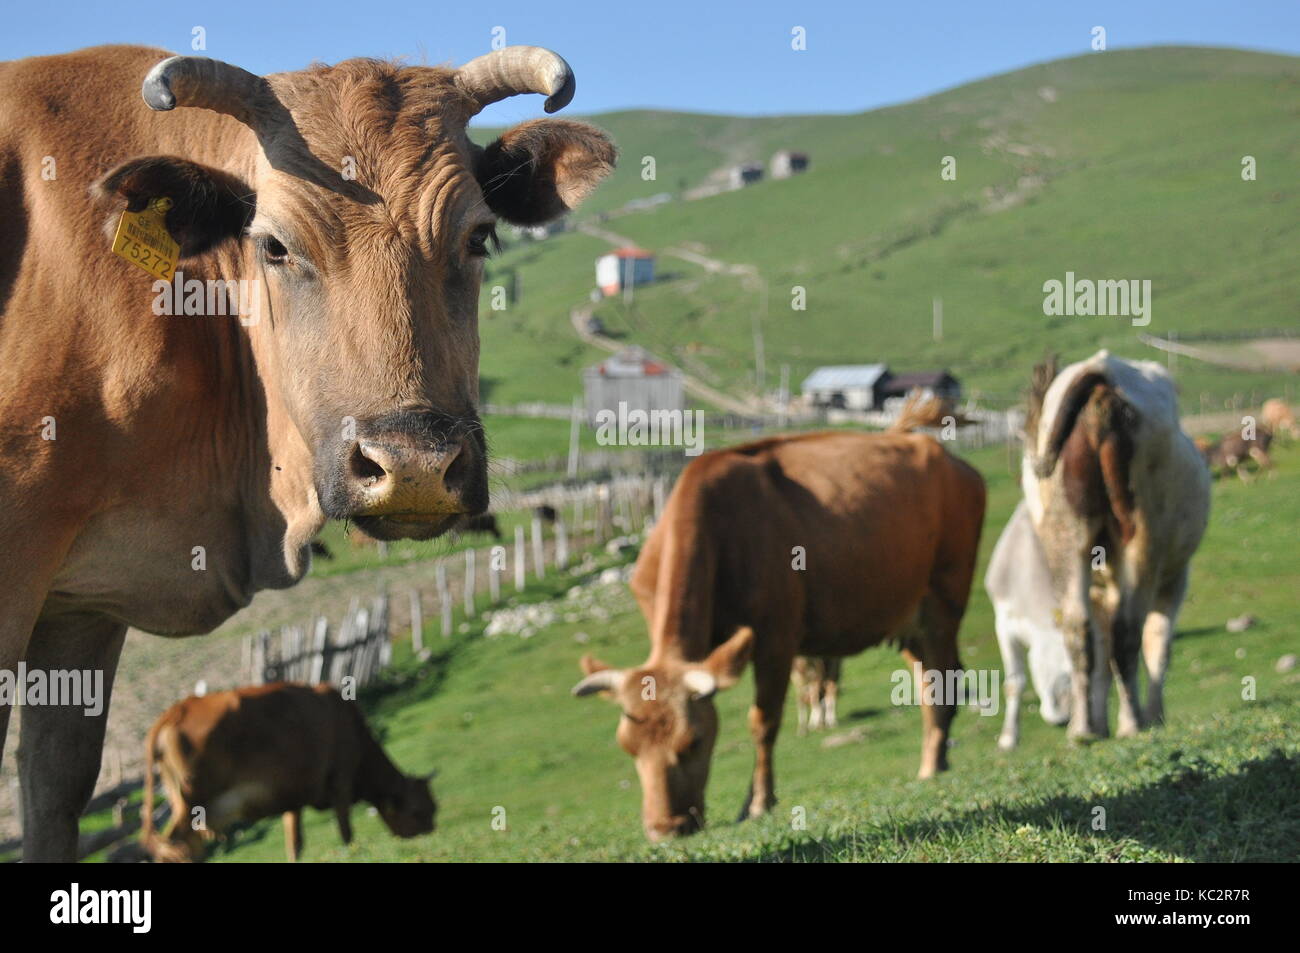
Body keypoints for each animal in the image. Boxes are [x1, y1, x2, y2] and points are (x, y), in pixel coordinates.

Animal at [141, 683, 435, 862]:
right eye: (419, 812)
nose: (432, 832)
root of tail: (176, 710)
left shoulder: (292, 796)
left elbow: (294, 842)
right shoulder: (341, 780)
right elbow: (346, 831)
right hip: (193, 802)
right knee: (176, 847)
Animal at [572, 400, 986, 840]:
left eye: (694, 741)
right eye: (627, 745)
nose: (665, 828)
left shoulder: (777, 640)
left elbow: (763, 723)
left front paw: (757, 803)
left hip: (944, 598)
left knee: (944, 679)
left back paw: (933, 762)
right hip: (908, 616)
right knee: (926, 682)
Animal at [1022, 351, 1210, 741]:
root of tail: (1100, 372)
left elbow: (1101, 654)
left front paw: (1096, 721)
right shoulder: (1175, 578)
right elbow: (1158, 643)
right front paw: (1154, 714)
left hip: (1067, 540)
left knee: (1079, 632)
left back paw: (1082, 730)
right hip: (1143, 543)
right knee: (1128, 632)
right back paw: (1132, 721)